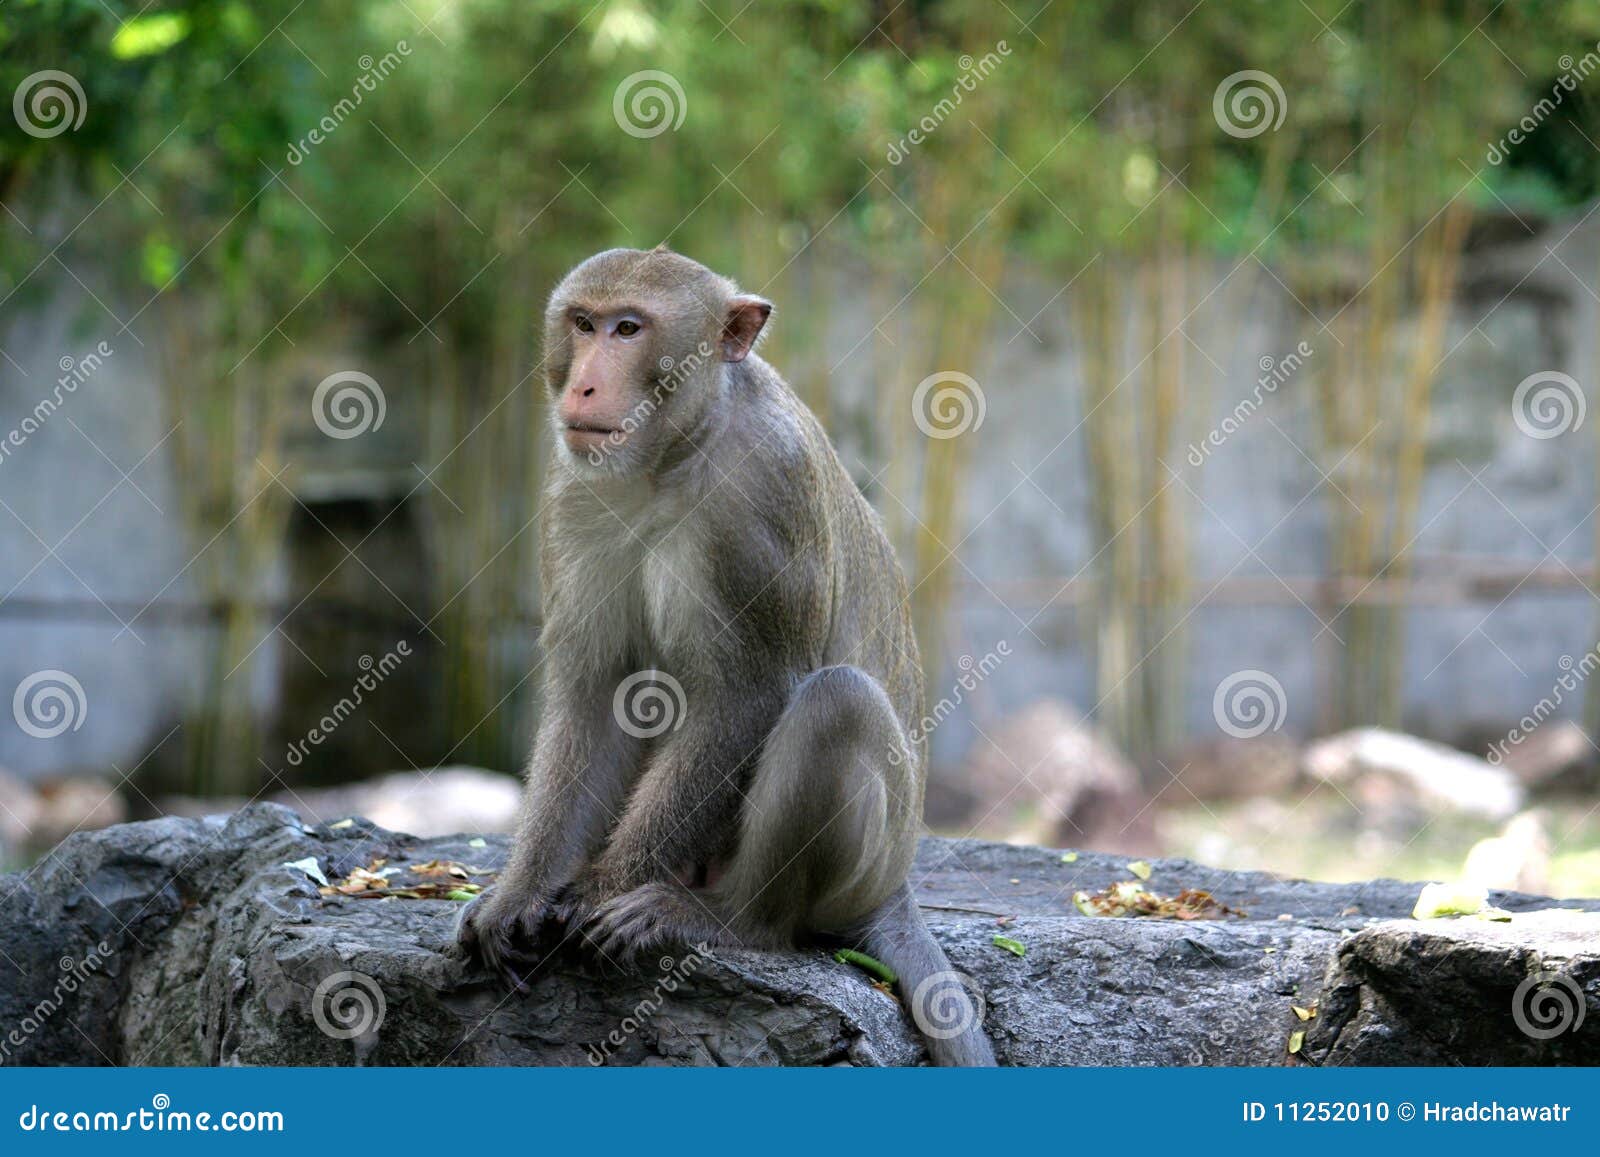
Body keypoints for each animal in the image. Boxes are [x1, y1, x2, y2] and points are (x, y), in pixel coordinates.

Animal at [455, 246, 997, 1067]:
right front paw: (522, 893)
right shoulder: (571, 491)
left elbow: (750, 694)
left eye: (628, 329)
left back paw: (731, 920)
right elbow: (594, 696)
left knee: (836, 701)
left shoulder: (768, 489)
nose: (583, 383)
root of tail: (898, 880)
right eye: (582, 323)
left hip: (862, 866)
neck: (671, 456)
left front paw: (597, 890)